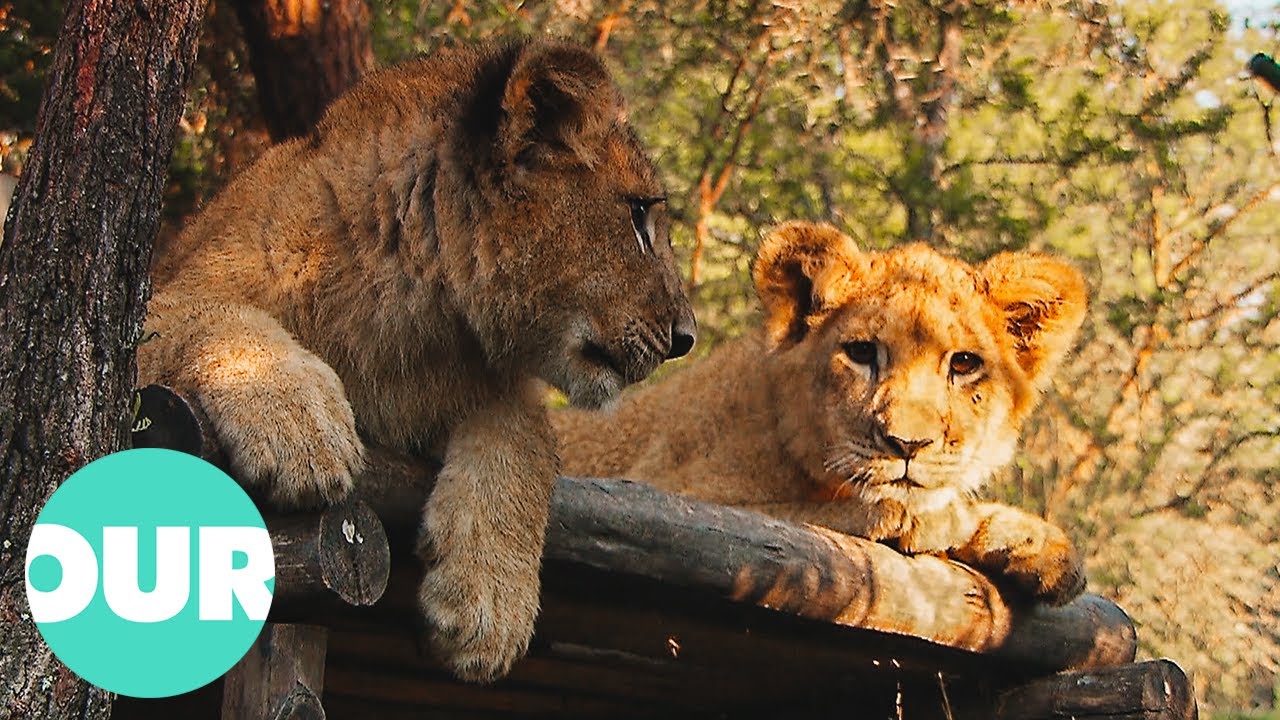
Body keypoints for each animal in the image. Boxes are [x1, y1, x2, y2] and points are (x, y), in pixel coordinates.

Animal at [138, 39, 695, 681]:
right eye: (638, 215)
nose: (687, 337)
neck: (412, 306)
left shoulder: (485, 389)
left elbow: (527, 434)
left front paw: (487, 607)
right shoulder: (156, 303)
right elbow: (214, 314)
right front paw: (299, 428)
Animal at [554, 221, 1087, 604]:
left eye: (963, 364)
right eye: (862, 353)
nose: (908, 445)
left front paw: (1042, 546)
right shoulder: (665, 493)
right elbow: (801, 515)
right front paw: (933, 516)